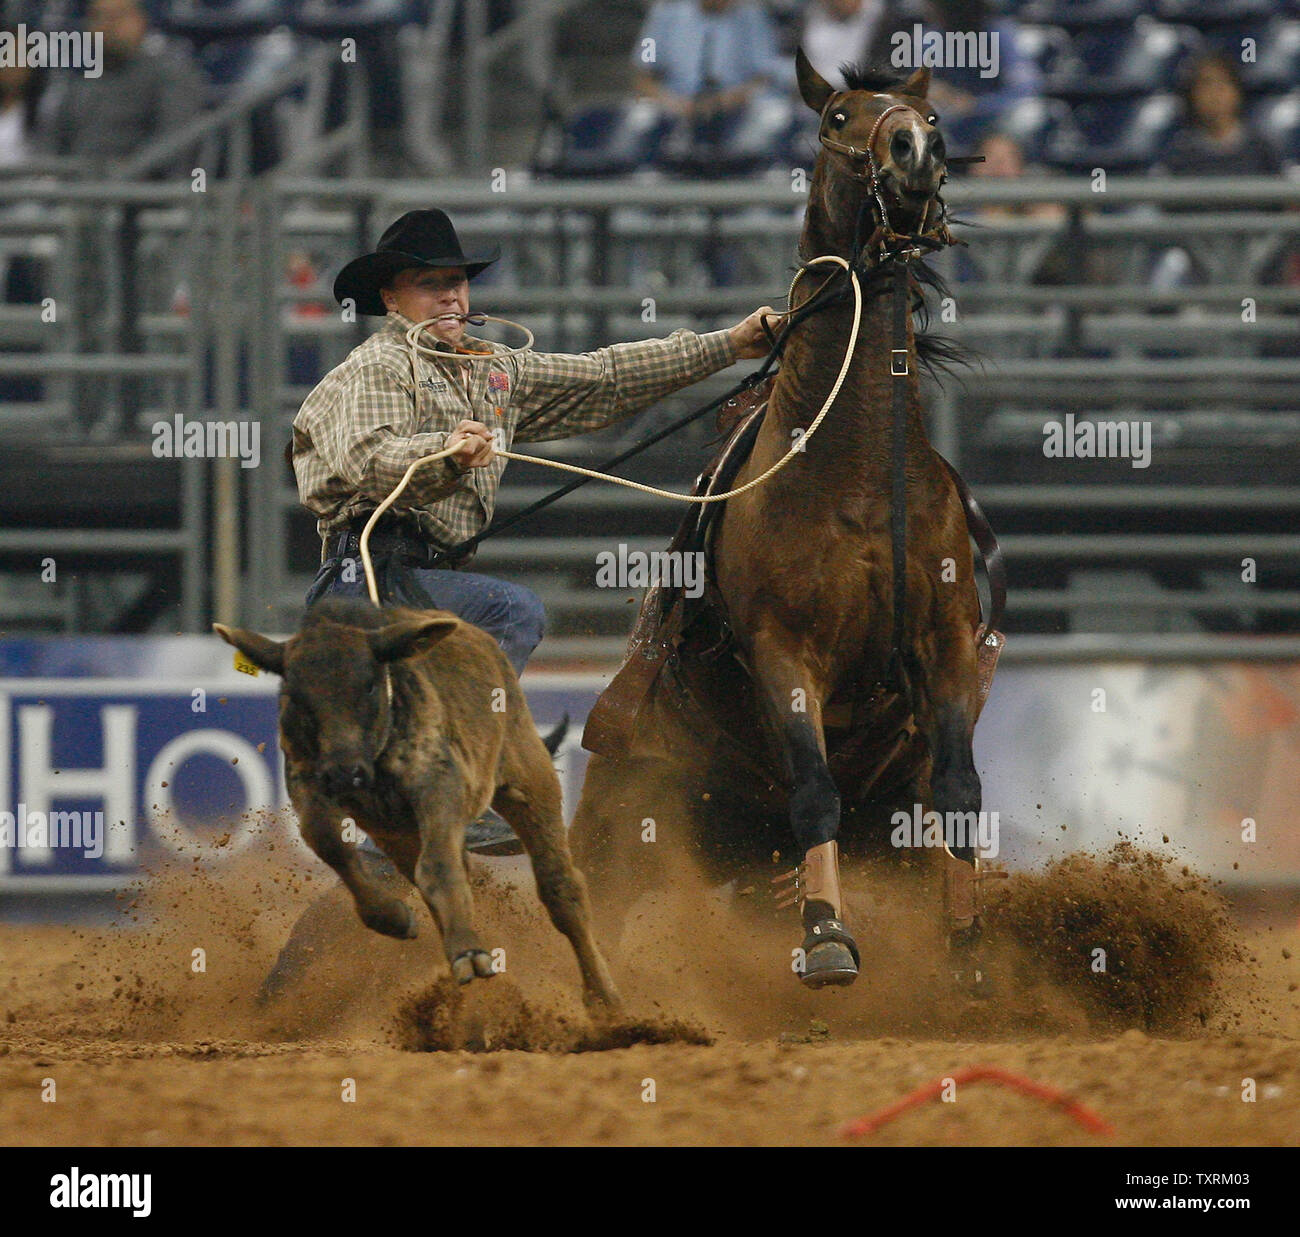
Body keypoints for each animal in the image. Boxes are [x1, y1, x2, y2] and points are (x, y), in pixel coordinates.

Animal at [214, 597, 621, 1010]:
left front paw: (469, 954)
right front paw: (395, 918)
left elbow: (437, 867)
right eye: (295, 696)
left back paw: (603, 997)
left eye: (369, 685)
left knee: (560, 887)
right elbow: (331, 844)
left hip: (528, 778)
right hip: (399, 832)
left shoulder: (439, 789)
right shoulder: (314, 788)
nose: (344, 772)